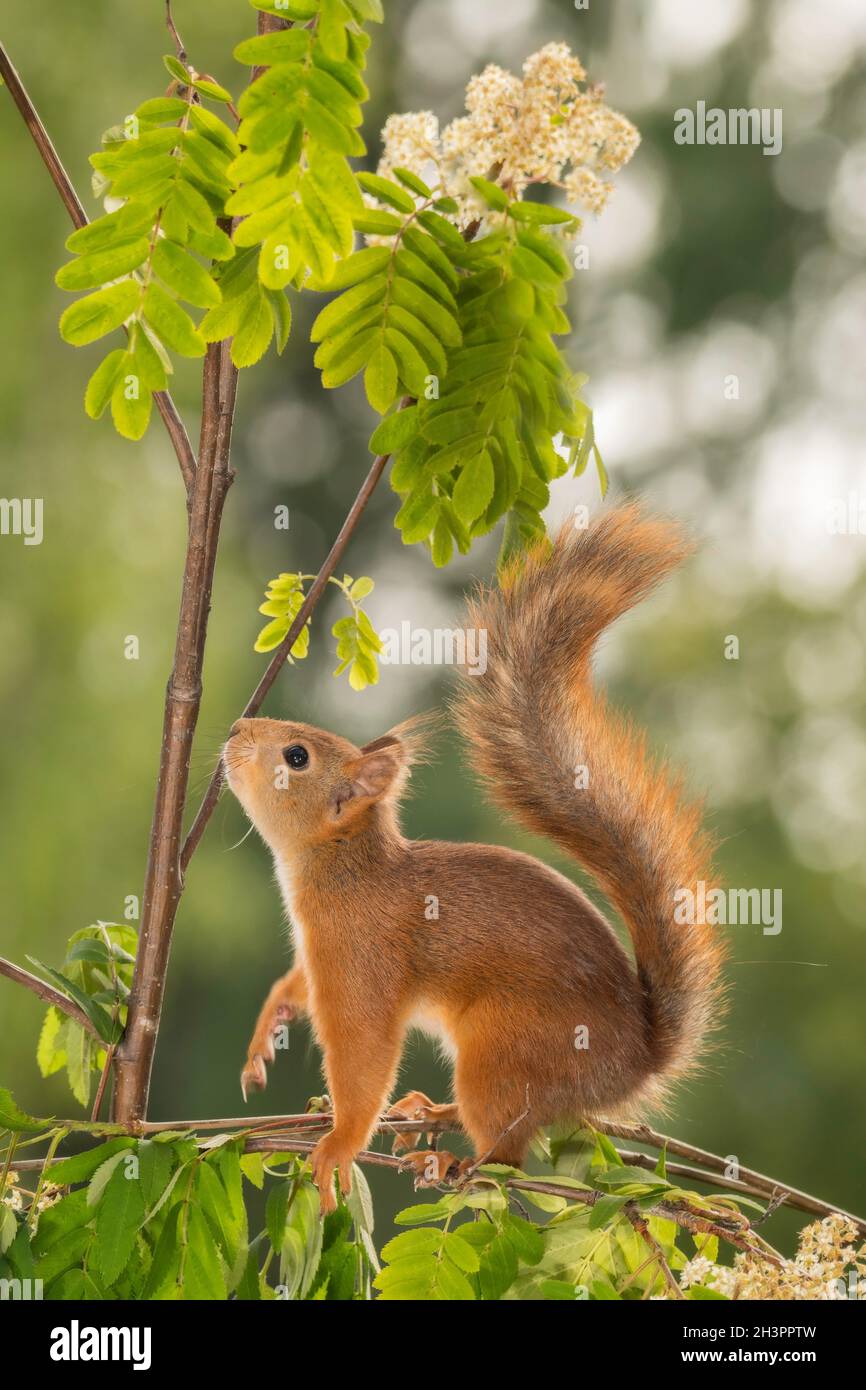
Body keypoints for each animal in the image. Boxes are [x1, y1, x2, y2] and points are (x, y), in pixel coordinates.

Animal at [223, 503, 725, 1213]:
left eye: (297, 757)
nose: (236, 730)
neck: (342, 868)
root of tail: (634, 1061)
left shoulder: (359, 962)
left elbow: (363, 1057)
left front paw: (339, 1146)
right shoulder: (315, 957)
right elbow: (291, 984)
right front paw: (270, 1028)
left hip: (501, 1052)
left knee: (510, 1154)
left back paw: (460, 1162)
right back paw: (433, 1115)